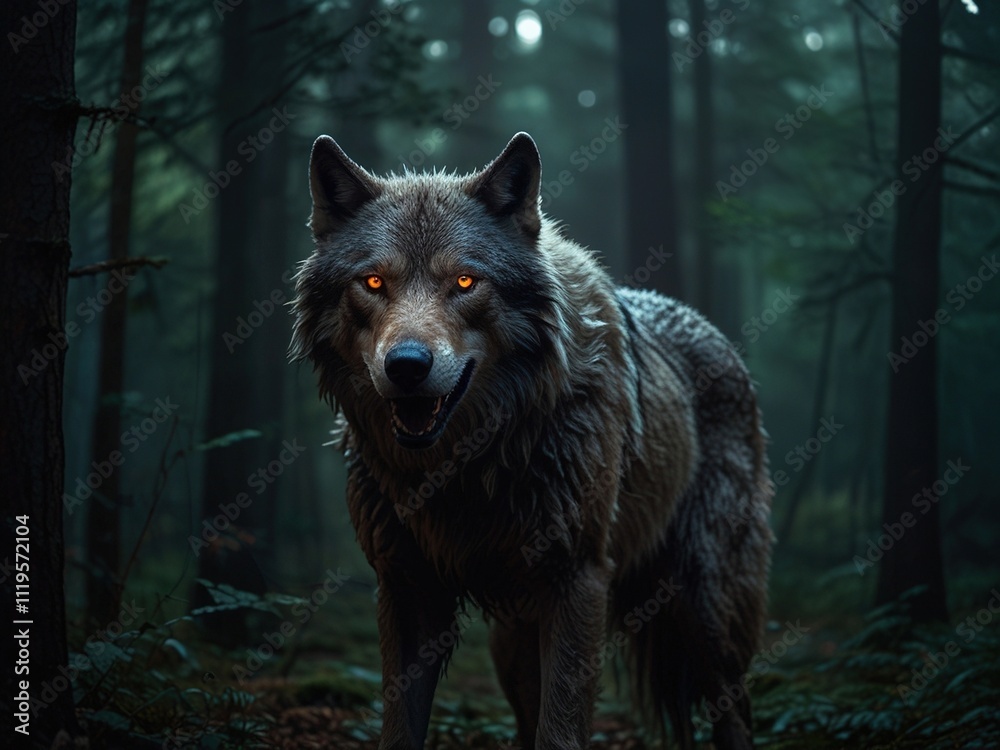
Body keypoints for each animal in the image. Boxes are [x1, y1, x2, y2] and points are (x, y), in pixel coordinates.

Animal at [290, 132, 773, 750]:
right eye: (374, 282)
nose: (406, 366)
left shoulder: (579, 578)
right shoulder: (406, 585)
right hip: (514, 641)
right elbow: (400, 728)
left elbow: (562, 730)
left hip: (702, 606)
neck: (466, 470)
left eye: (465, 281)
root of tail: (717, 335)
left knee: (735, 709)